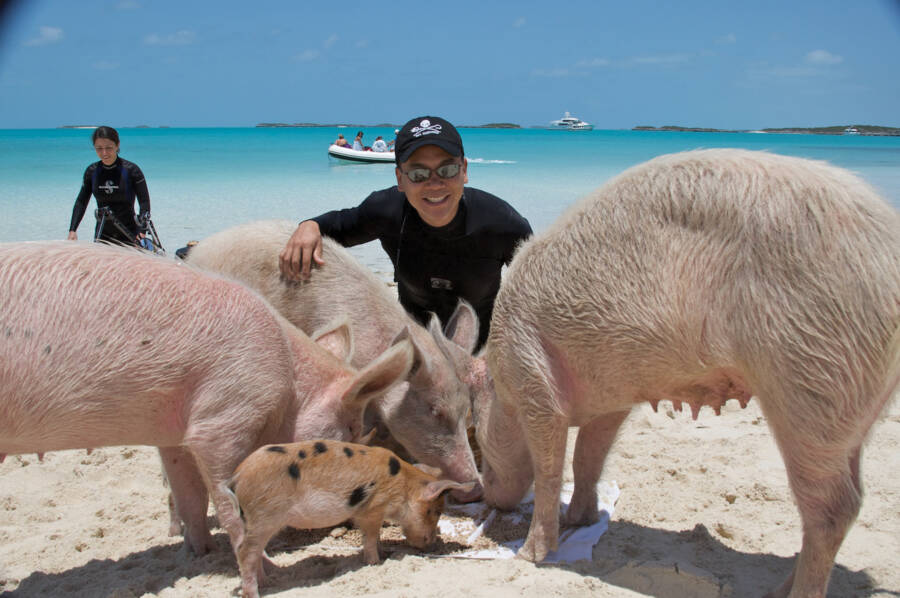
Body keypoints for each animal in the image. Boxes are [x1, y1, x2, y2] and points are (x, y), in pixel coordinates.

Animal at [0, 240, 414, 557]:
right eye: (348, 433)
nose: (345, 519)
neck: (287, 383)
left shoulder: (173, 432)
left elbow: (191, 495)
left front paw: (199, 554)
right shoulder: (224, 413)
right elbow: (227, 498)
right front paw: (263, 567)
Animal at [225, 439, 475, 598]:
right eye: (436, 511)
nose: (431, 543)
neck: (403, 486)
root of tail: (236, 477)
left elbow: (375, 538)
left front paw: (383, 555)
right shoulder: (372, 509)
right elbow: (371, 536)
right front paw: (375, 562)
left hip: (254, 520)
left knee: (249, 550)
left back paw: (268, 582)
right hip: (264, 516)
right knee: (245, 551)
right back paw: (255, 593)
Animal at [476, 149, 900, 598]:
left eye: (479, 442)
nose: (489, 497)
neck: (502, 383)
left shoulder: (534, 378)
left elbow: (549, 468)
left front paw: (529, 556)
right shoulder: (612, 399)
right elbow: (588, 457)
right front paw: (579, 521)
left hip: (814, 375)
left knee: (833, 506)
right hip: (855, 402)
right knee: (852, 495)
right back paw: (775, 589)